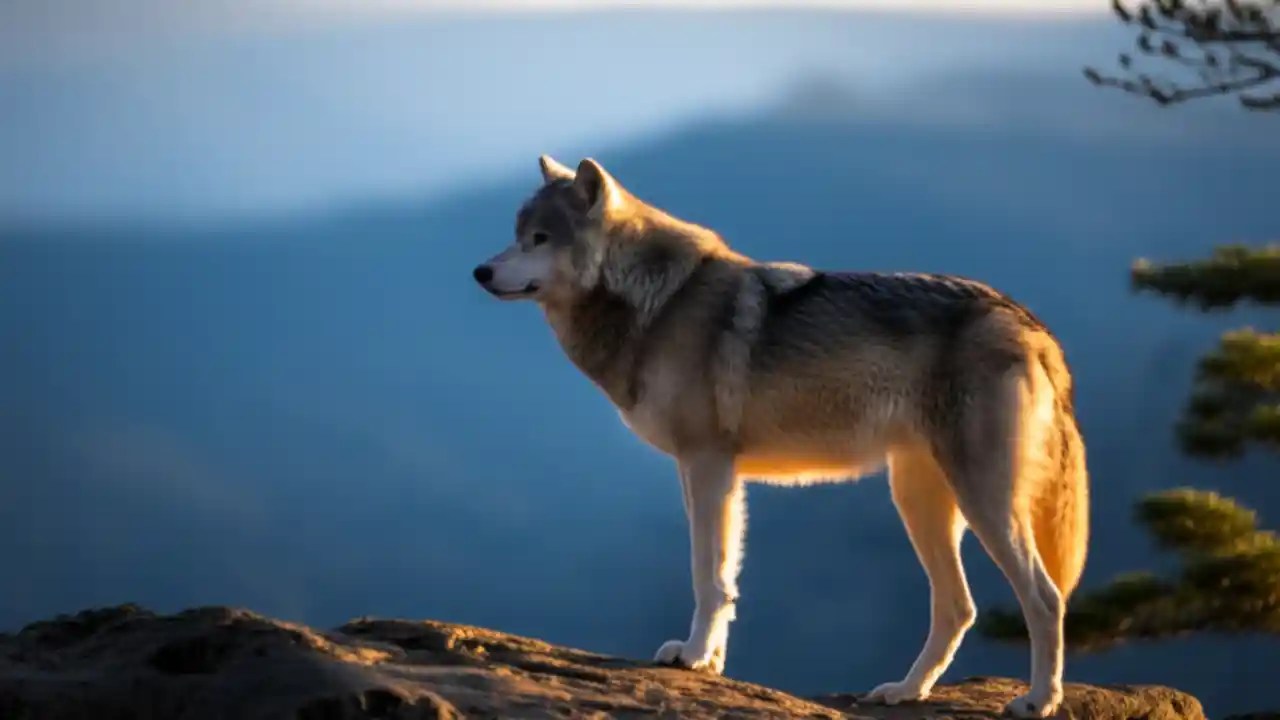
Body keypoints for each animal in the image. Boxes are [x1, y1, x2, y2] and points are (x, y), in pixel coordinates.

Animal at [471, 155, 1089, 718]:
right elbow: (724, 575)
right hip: (919, 499)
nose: (479, 272)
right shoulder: (711, 475)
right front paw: (711, 662)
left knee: (1045, 598)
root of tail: (1032, 326)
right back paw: (904, 692)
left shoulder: (708, 464)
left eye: (540, 238)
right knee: (958, 606)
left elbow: (707, 575)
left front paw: (692, 655)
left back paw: (1037, 700)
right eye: (516, 236)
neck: (659, 303)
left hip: (981, 500)